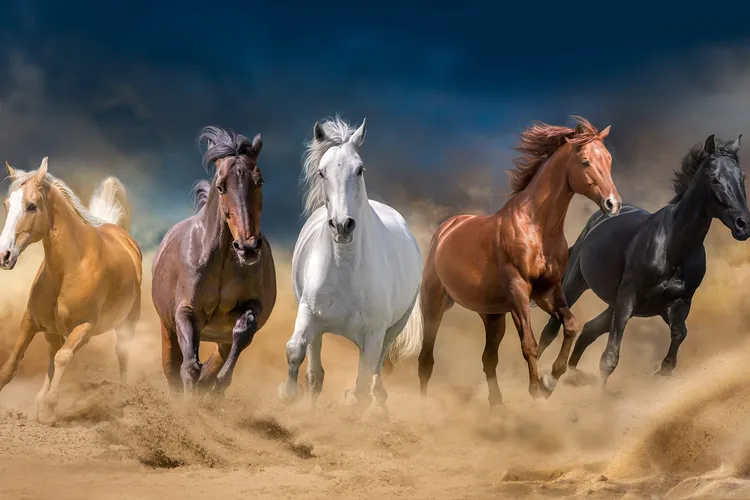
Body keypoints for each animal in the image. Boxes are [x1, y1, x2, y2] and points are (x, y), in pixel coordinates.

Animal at [0, 157, 141, 424]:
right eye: (7, 204)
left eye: (31, 206)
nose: (4, 255)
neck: (69, 269)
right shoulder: (31, 321)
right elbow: (13, 362)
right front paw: (41, 404)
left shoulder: (84, 328)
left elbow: (63, 358)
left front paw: (49, 409)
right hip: (52, 330)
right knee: (52, 353)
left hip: (128, 322)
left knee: (122, 354)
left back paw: (124, 402)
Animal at [152, 126, 276, 399]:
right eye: (220, 187)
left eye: (260, 181)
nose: (248, 247)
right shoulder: (186, 311)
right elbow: (188, 367)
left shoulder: (252, 307)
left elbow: (243, 331)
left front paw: (219, 382)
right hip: (167, 329)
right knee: (171, 369)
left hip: (220, 339)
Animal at [277, 117, 423, 417]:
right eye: (322, 172)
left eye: (359, 169)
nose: (343, 225)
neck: (346, 269)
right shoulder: (308, 313)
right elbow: (295, 351)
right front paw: (288, 395)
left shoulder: (375, 334)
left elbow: (363, 385)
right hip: (319, 329)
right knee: (316, 371)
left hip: (394, 328)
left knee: (377, 369)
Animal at [416, 117, 622, 408]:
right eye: (585, 162)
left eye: (608, 159)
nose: (613, 204)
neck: (537, 227)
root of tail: (446, 229)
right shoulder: (518, 291)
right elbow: (529, 344)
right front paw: (536, 390)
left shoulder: (548, 292)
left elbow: (570, 325)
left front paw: (550, 381)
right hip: (434, 304)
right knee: (426, 359)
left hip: (492, 316)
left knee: (488, 359)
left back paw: (498, 406)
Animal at [538, 134, 749, 385]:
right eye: (714, 179)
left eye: (742, 176)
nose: (743, 225)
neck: (672, 248)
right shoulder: (628, 297)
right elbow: (610, 357)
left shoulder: (676, 303)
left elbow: (680, 333)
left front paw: (664, 369)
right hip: (576, 284)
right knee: (551, 330)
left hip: (614, 304)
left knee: (589, 329)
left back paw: (569, 377)